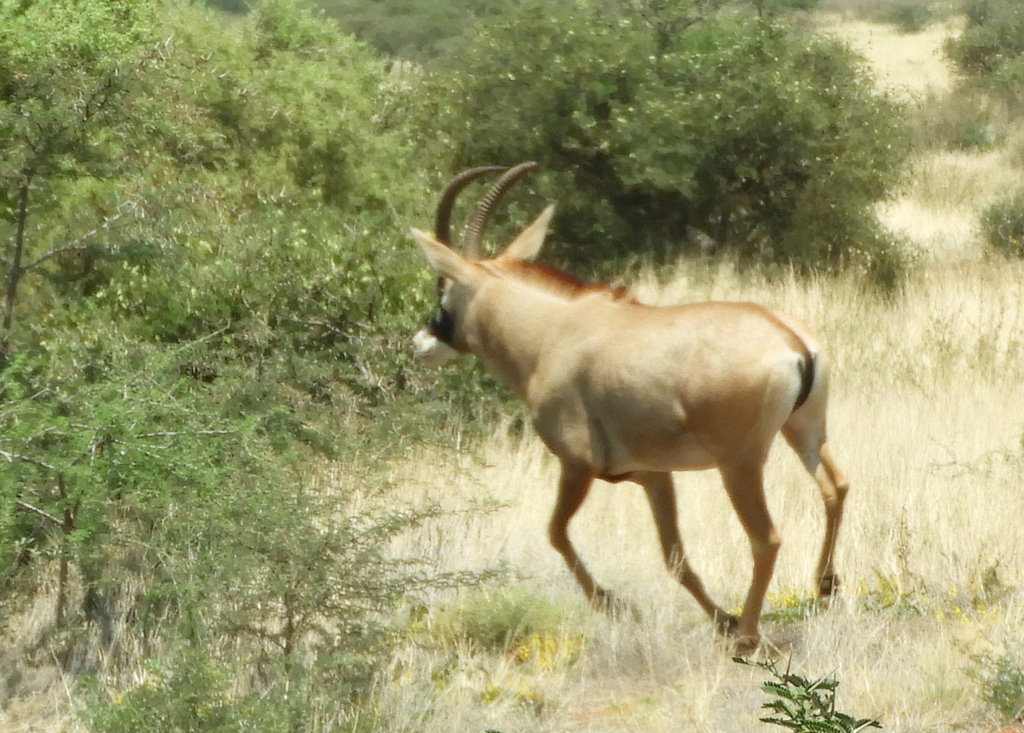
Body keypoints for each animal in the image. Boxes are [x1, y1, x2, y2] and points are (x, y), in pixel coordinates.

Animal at [410, 163, 849, 649]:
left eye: (443, 290)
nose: (421, 343)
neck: (552, 331)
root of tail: (790, 341)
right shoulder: (654, 476)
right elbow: (675, 558)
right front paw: (722, 618)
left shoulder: (577, 465)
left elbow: (556, 533)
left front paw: (616, 605)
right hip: (805, 434)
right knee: (835, 487)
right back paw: (823, 588)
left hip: (739, 464)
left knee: (766, 538)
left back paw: (748, 637)